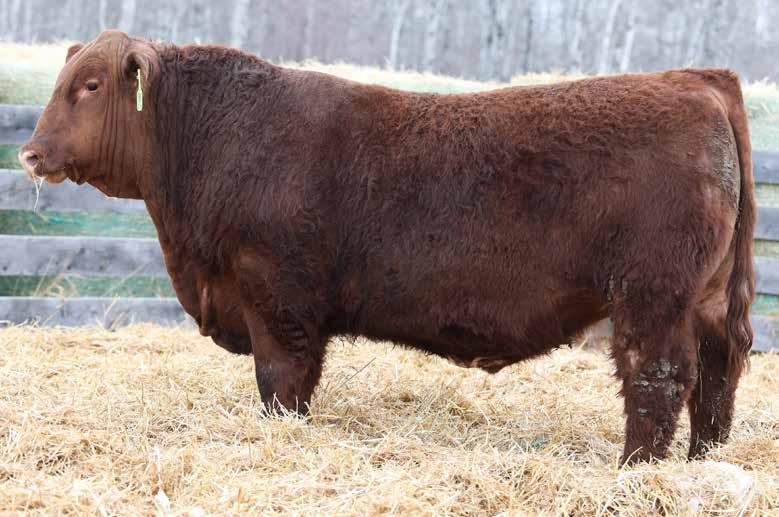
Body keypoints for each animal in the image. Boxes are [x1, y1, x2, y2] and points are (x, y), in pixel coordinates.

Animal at [19, 30, 755, 465]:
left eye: (89, 85)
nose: (29, 152)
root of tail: (695, 79)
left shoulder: (276, 295)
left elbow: (281, 381)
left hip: (652, 295)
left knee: (659, 377)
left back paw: (635, 469)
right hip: (709, 299)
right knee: (718, 373)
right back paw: (702, 462)